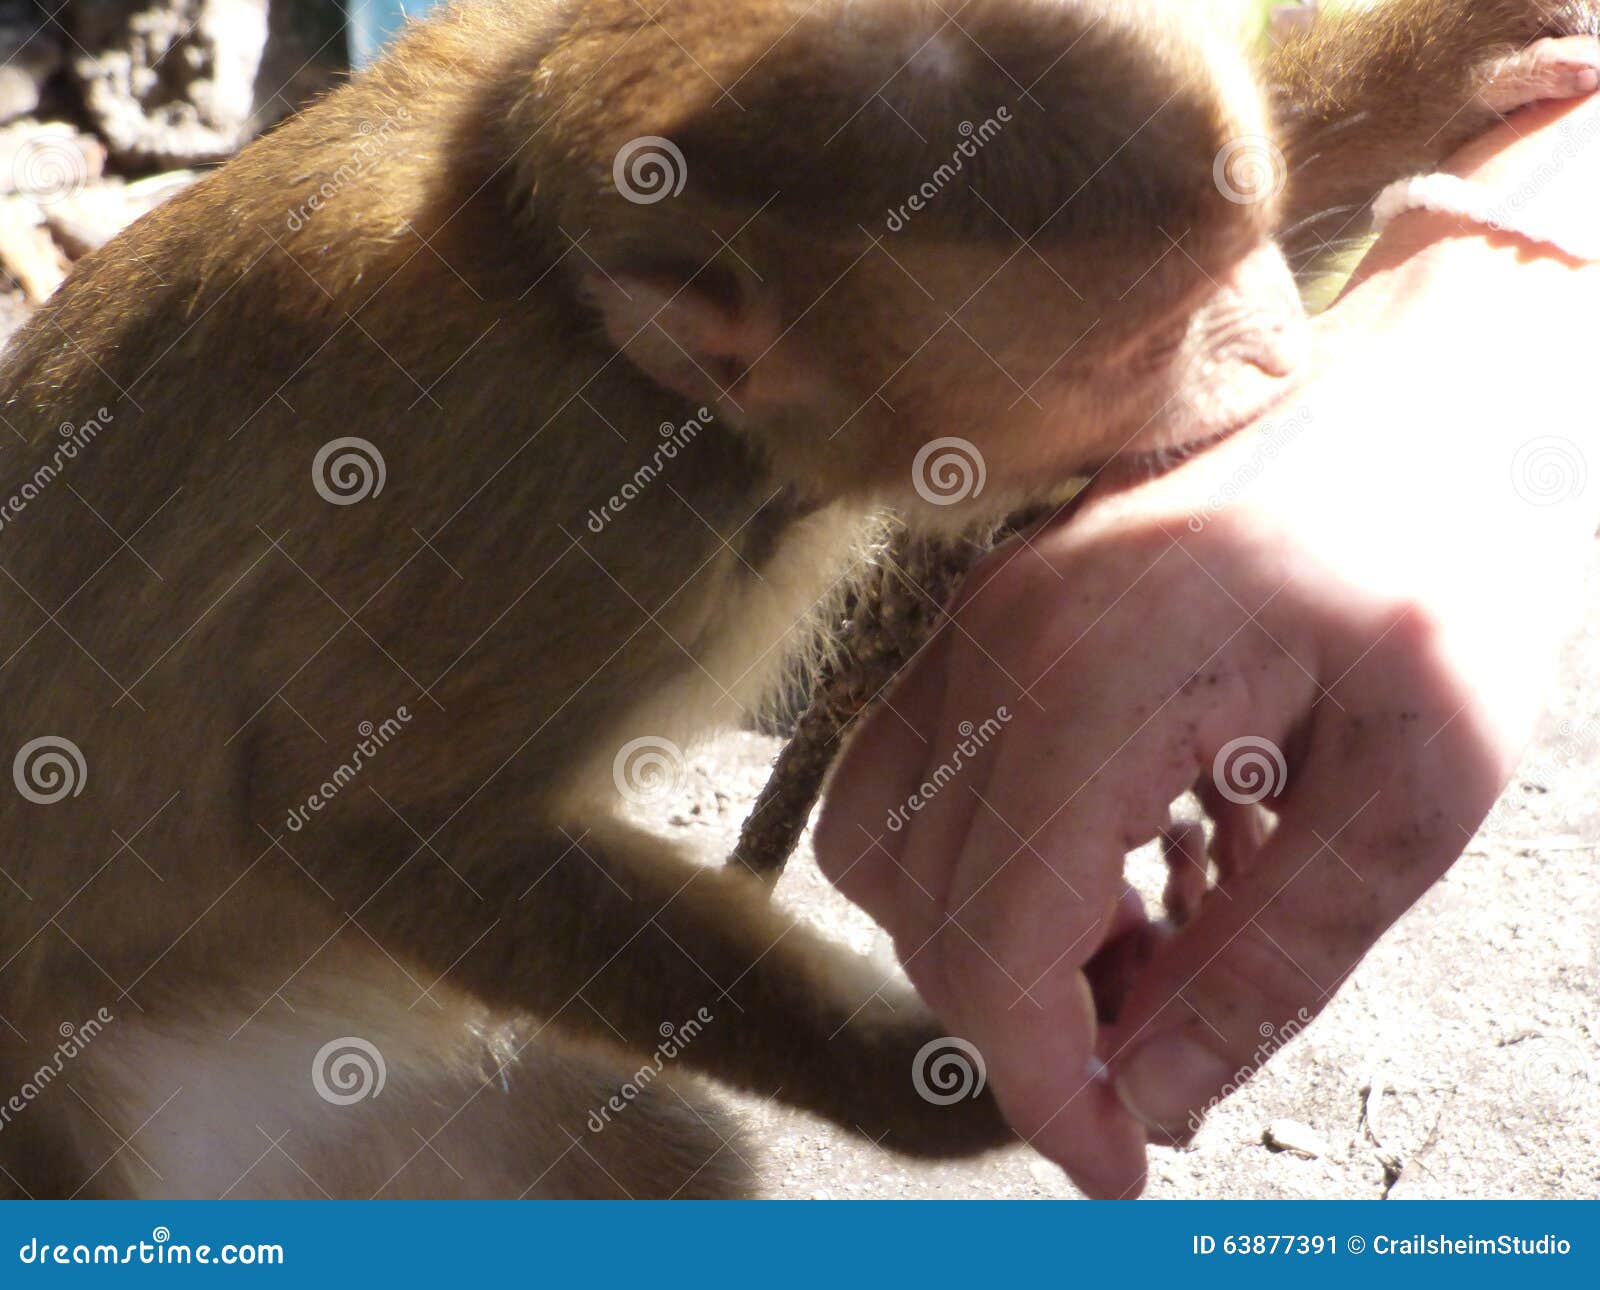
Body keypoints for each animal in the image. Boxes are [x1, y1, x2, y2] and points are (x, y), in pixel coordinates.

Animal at [0, 0, 1594, 1199]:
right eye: (1145, 346)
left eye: (1248, 236)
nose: (1276, 357)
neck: (571, 296)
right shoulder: (549, 511)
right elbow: (359, 816)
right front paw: (931, 1083)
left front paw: (1439, 59)